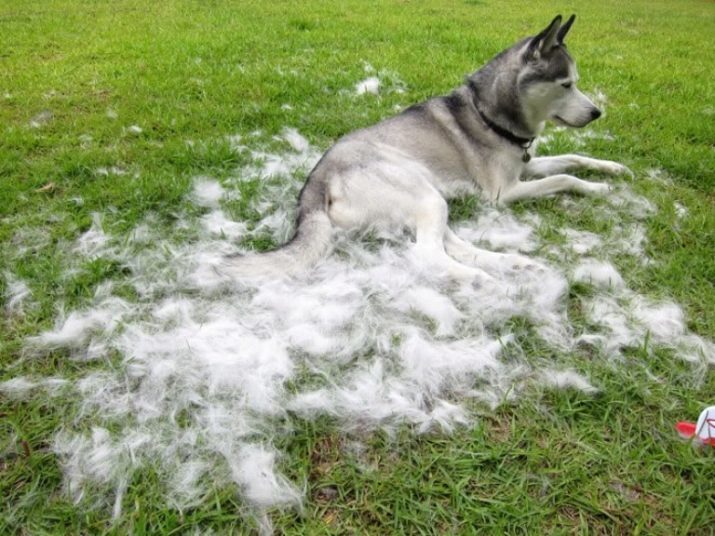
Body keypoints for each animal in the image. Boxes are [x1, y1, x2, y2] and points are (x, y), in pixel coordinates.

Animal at [224, 13, 632, 280]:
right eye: (566, 84)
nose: (596, 112)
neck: (490, 112)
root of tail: (314, 183)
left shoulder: (527, 165)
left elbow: (573, 159)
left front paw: (610, 172)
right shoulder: (504, 192)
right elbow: (563, 179)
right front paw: (597, 187)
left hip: (428, 199)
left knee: (449, 243)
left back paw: (510, 264)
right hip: (421, 193)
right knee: (428, 255)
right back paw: (480, 278)